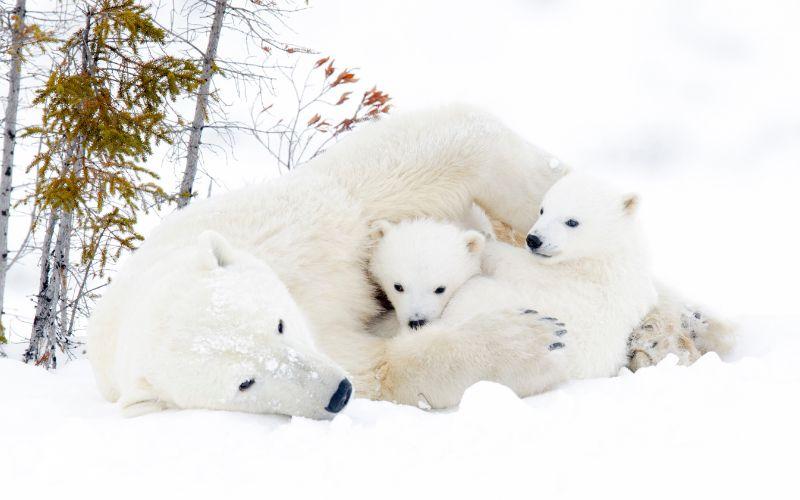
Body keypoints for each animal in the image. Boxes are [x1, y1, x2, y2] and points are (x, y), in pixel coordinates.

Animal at [87, 103, 571, 417]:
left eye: (279, 324)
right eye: (245, 381)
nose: (338, 393)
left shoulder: (300, 226)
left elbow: (416, 161)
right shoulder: (333, 350)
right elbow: (384, 368)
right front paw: (533, 339)